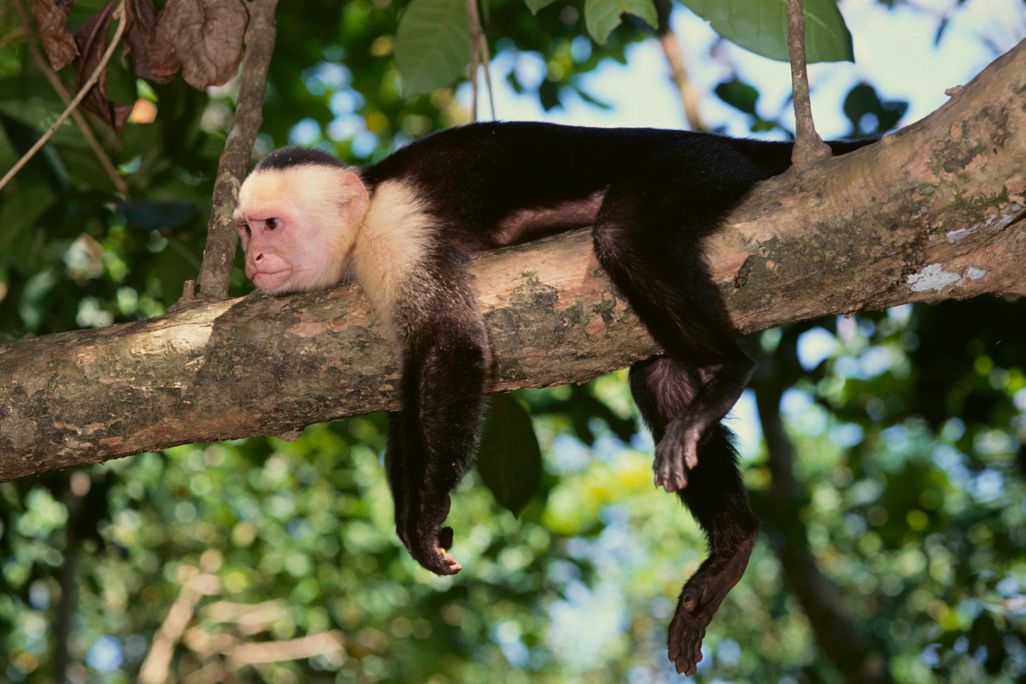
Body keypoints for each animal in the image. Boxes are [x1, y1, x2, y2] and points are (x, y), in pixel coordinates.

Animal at [234, 121, 868, 675]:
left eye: (271, 225)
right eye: (244, 230)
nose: (252, 261)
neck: (365, 213)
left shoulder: (398, 229)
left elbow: (451, 345)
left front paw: (425, 515)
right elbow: (412, 387)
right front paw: (410, 517)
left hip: (699, 167)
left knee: (625, 234)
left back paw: (729, 370)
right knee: (659, 377)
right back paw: (732, 545)